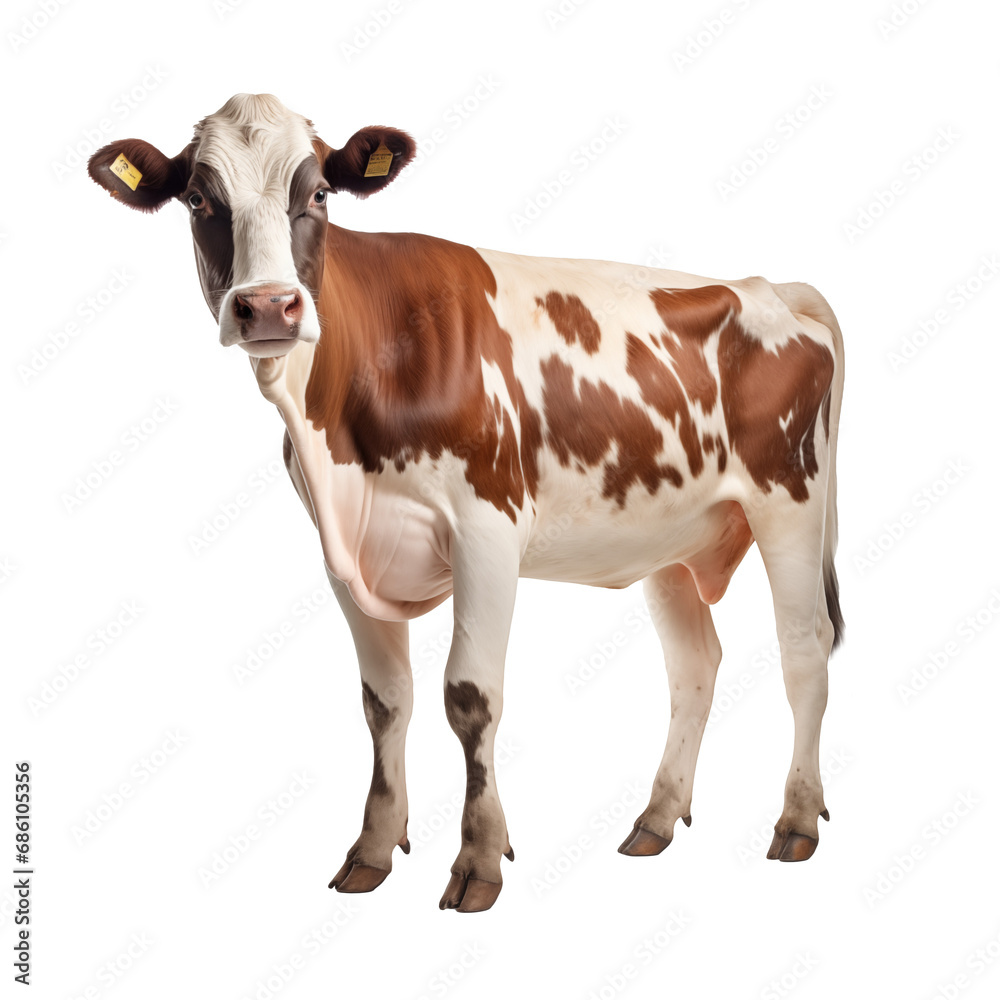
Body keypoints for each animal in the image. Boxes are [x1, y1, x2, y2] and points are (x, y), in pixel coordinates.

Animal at [88, 93, 844, 913]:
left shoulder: (487, 531)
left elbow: (470, 697)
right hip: (670, 536)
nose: (268, 307)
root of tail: (770, 286)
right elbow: (385, 701)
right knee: (694, 666)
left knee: (805, 649)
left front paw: (478, 859)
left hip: (790, 499)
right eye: (199, 200)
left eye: (317, 193)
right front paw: (373, 848)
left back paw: (797, 820)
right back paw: (657, 818)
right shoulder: (342, 553)